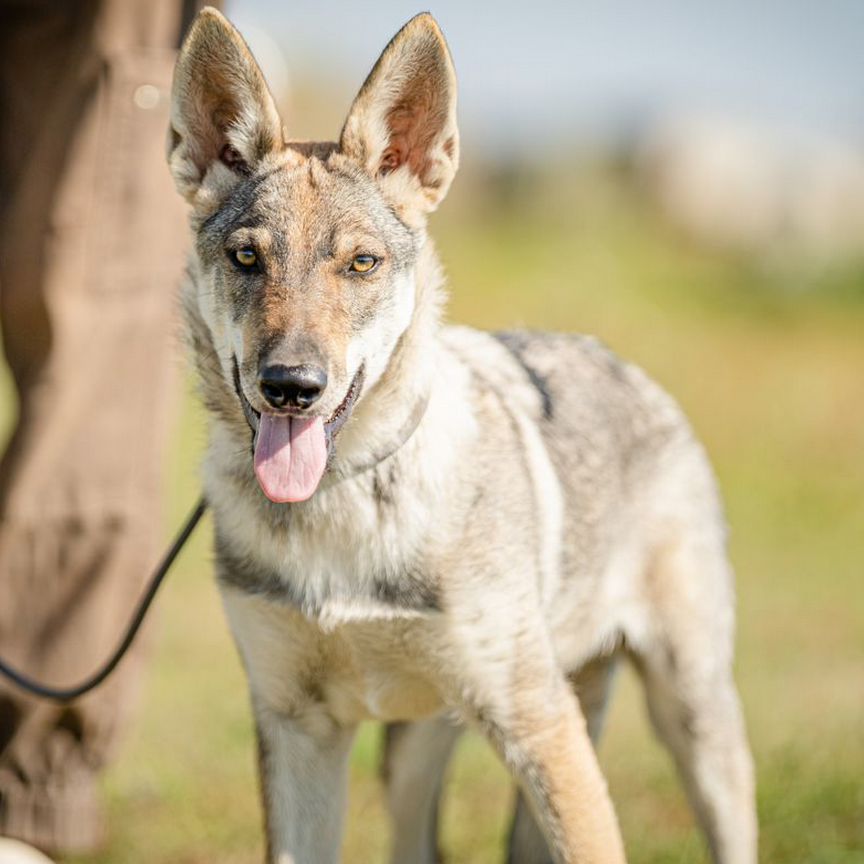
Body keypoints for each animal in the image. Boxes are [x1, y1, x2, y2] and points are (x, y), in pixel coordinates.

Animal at [167, 8, 756, 864]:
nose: (291, 387)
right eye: (247, 258)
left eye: (361, 264)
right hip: (417, 749)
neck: (340, 506)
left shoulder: (537, 725)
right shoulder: (295, 729)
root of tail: (615, 360)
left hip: (691, 716)